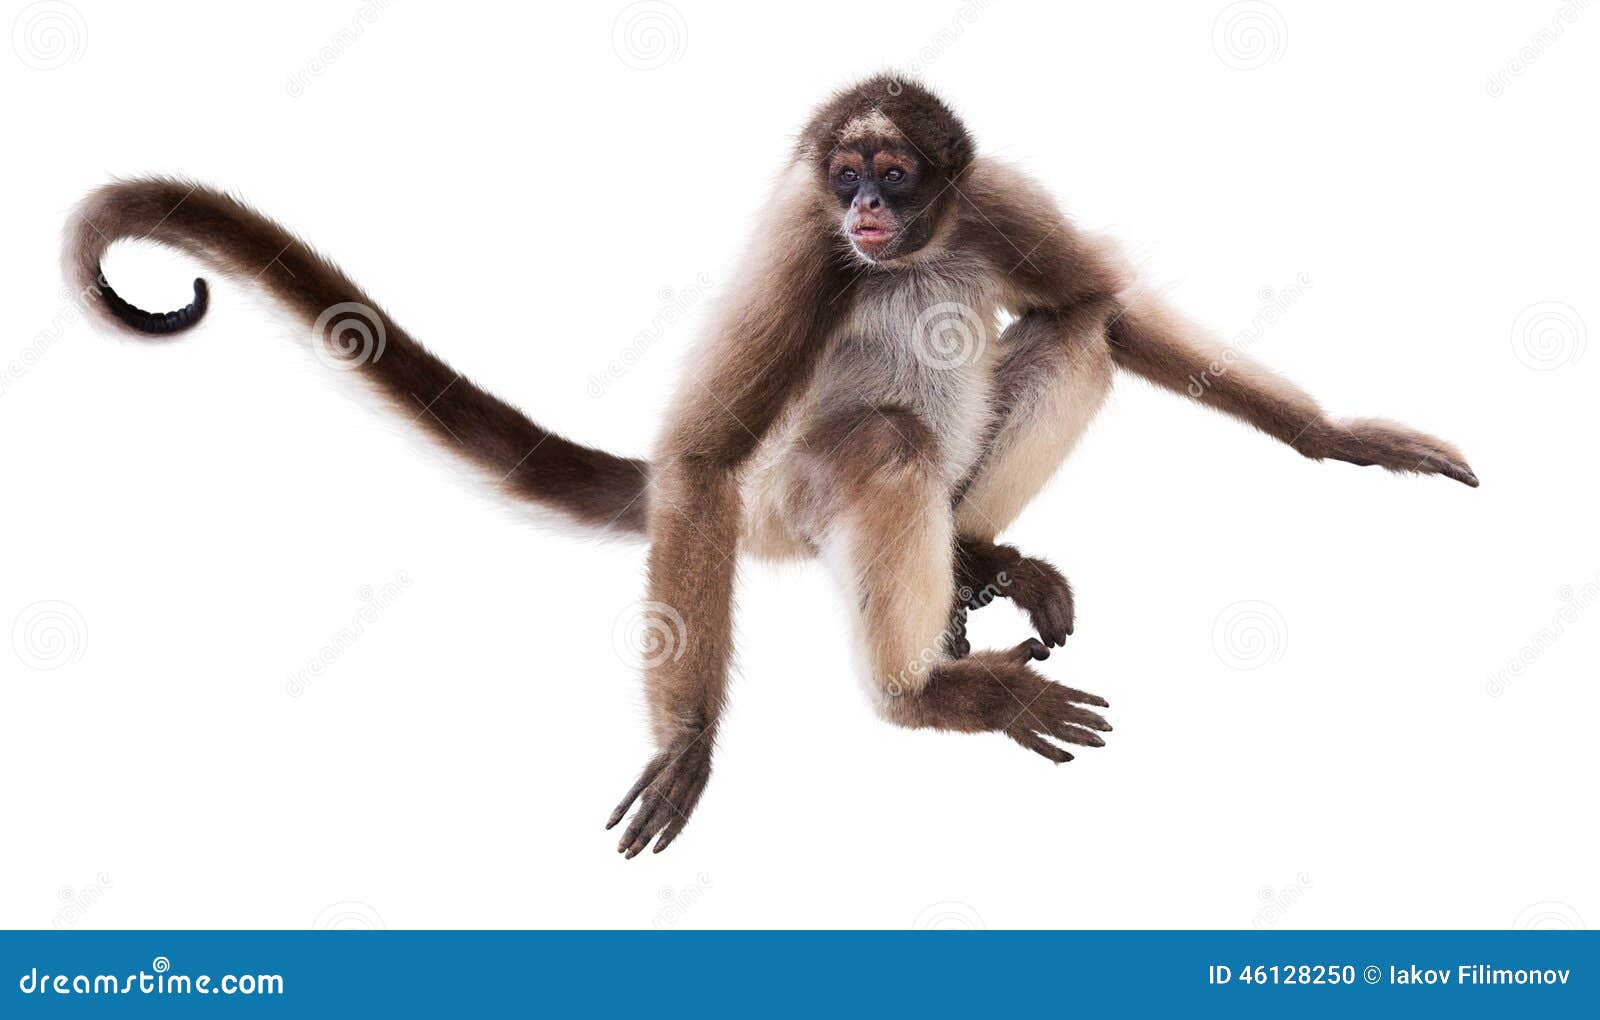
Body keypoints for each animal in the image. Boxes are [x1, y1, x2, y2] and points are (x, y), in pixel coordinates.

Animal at [63, 74, 1476, 859]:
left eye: (896, 173)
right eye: (845, 175)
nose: (868, 210)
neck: (908, 244)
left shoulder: (991, 200)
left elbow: (1100, 309)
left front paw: (1340, 439)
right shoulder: (804, 242)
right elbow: (696, 453)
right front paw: (691, 742)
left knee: (1066, 335)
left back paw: (975, 556)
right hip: (789, 506)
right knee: (884, 440)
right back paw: (923, 695)